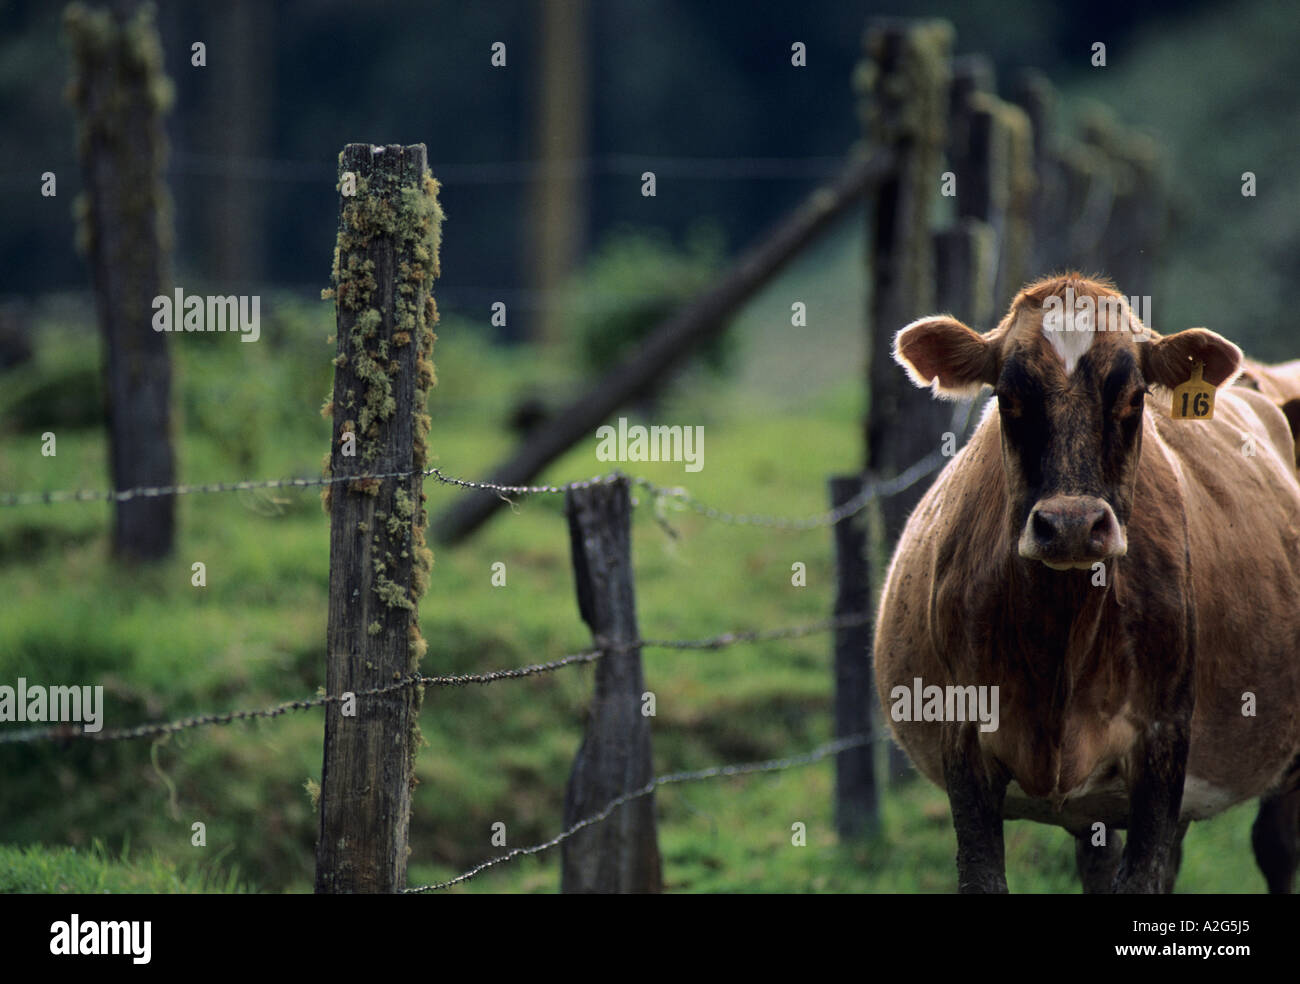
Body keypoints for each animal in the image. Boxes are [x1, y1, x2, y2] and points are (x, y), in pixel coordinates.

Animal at [874, 273, 1300, 894]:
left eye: (1135, 396)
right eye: (1009, 396)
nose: (1072, 525)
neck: (1060, 640)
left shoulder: (1163, 743)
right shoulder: (964, 743)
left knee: (1277, 847)